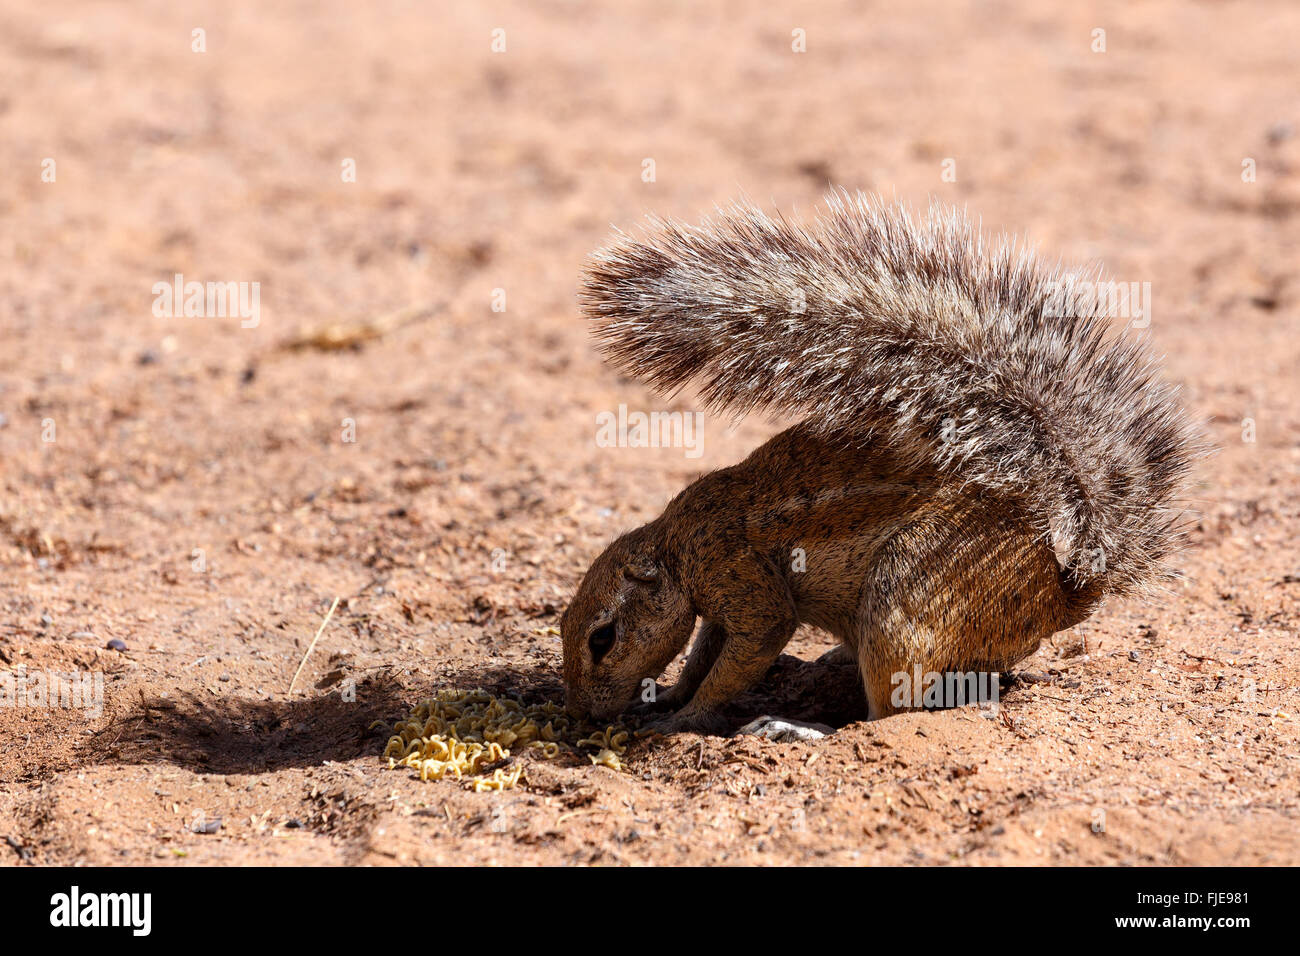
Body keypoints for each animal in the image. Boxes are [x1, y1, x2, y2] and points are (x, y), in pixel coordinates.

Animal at [561, 190, 1203, 736]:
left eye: (602, 638)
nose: (582, 717)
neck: (676, 543)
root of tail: (1069, 584)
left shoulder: (739, 577)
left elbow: (748, 650)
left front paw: (682, 718)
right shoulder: (719, 607)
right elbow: (702, 654)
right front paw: (671, 694)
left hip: (906, 593)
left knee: (888, 715)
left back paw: (798, 727)